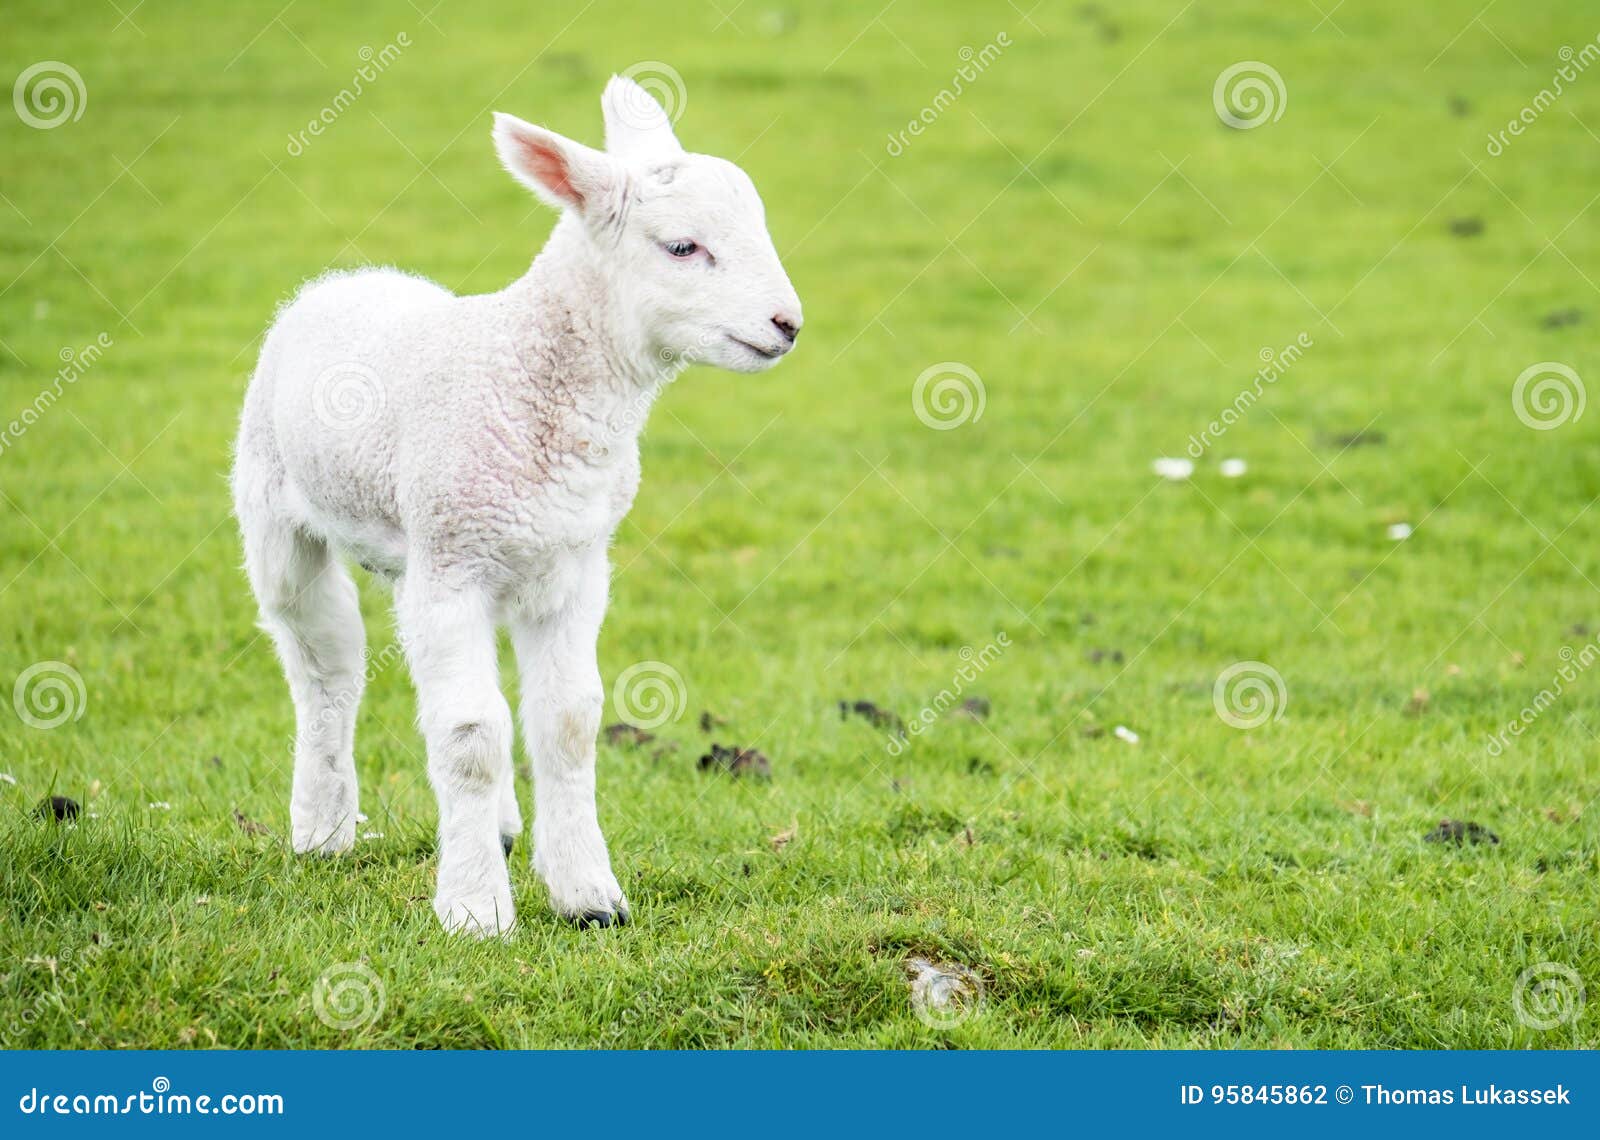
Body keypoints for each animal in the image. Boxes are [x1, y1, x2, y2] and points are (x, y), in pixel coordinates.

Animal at [231, 76, 803, 936]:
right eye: (681, 247)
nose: (787, 325)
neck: (530, 369)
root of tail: (348, 279)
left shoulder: (574, 565)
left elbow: (566, 723)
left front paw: (588, 894)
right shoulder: (451, 566)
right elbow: (470, 735)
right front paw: (474, 909)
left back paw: (497, 826)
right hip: (281, 512)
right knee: (326, 667)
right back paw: (323, 827)